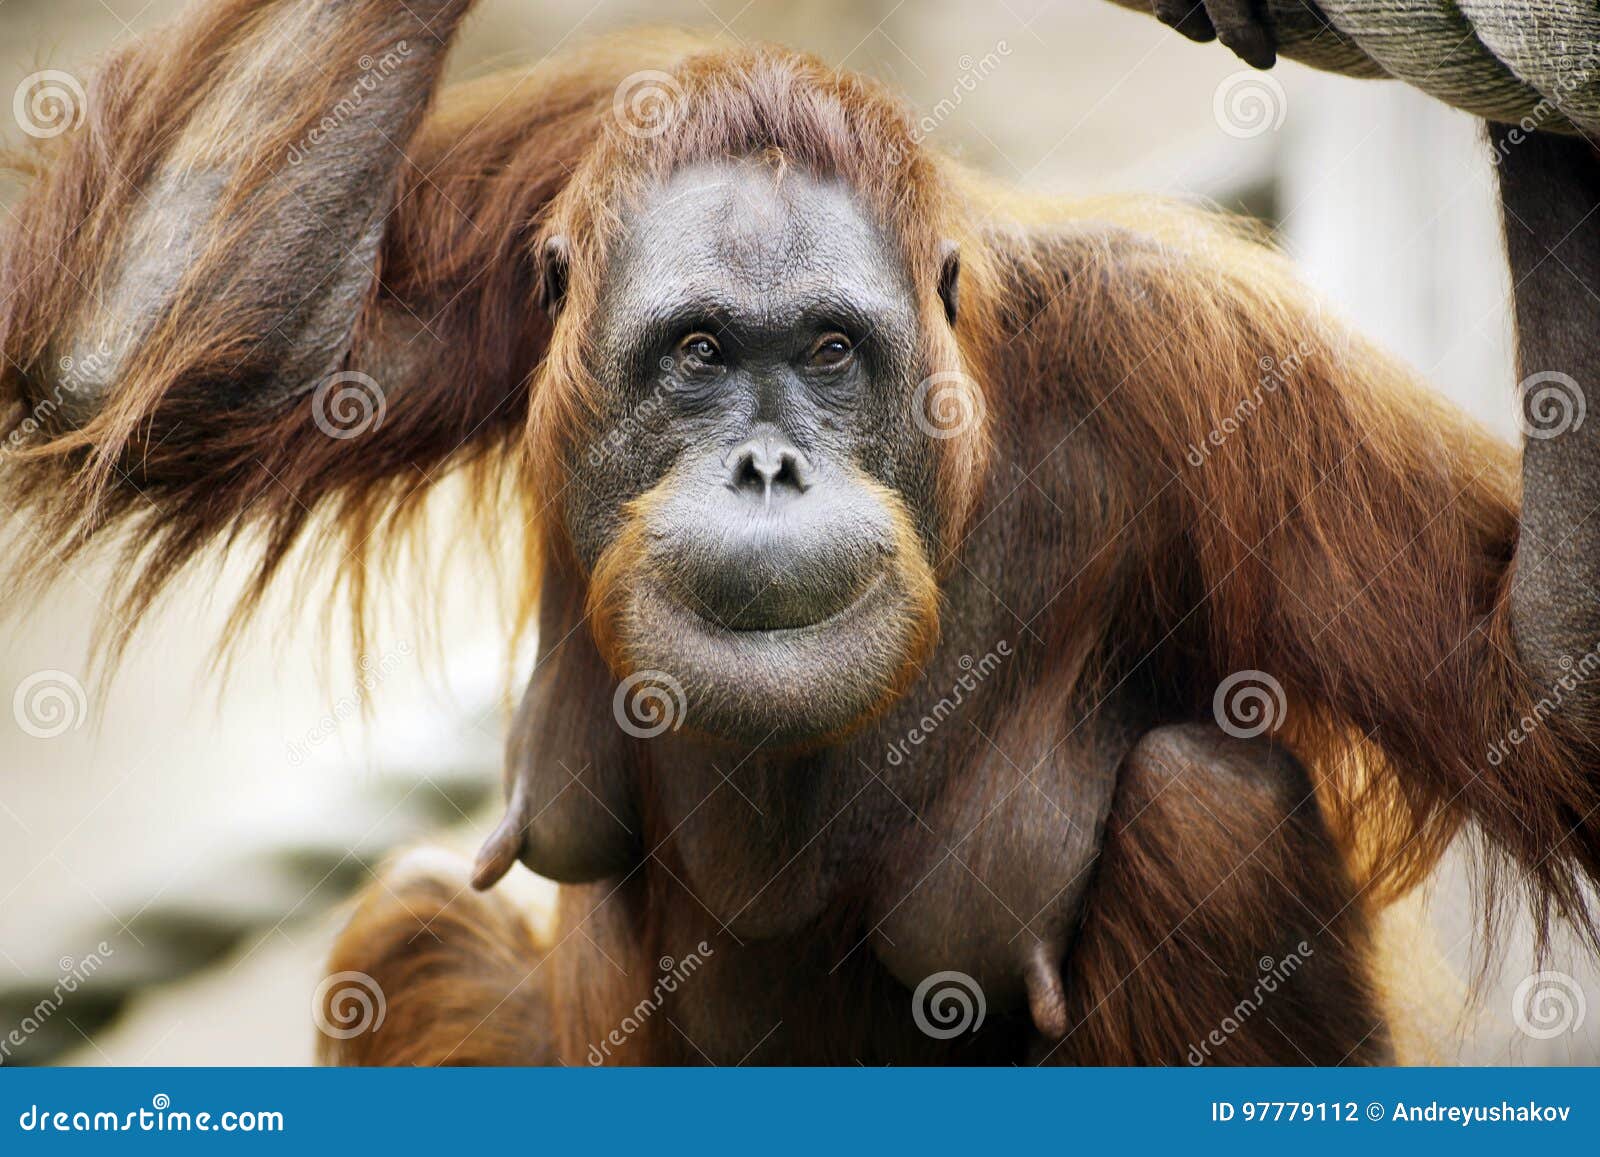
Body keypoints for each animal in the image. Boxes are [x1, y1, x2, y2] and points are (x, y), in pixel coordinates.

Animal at [2, 0, 1597, 1065]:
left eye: (830, 353)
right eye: (702, 351)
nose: (768, 466)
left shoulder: (1200, 358)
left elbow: (1530, 682)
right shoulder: (560, 186)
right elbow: (166, 346)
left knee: (1209, 802)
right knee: (407, 924)